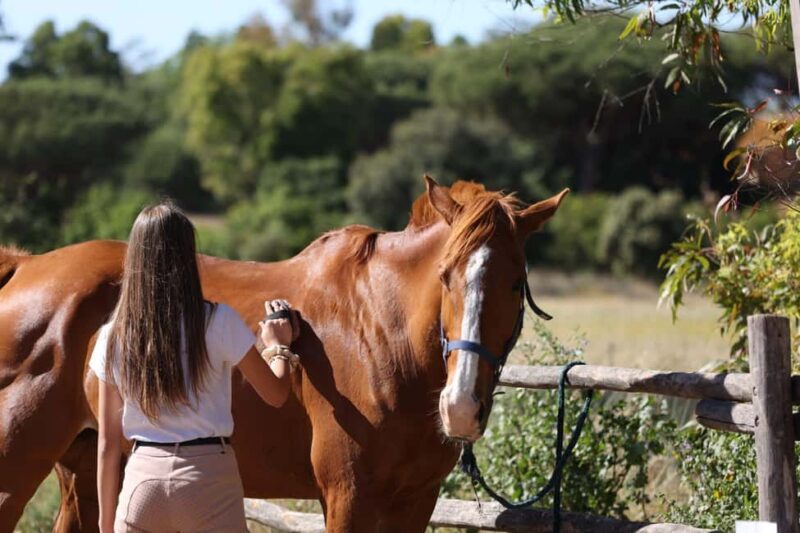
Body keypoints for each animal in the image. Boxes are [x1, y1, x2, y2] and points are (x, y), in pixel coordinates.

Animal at [0, 177, 568, 532]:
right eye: (446, 277)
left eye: (515, 283)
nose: (461, 406)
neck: (382, 333)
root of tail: (23, 268)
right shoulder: (348, 496)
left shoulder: (414, 500)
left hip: (87, 469)